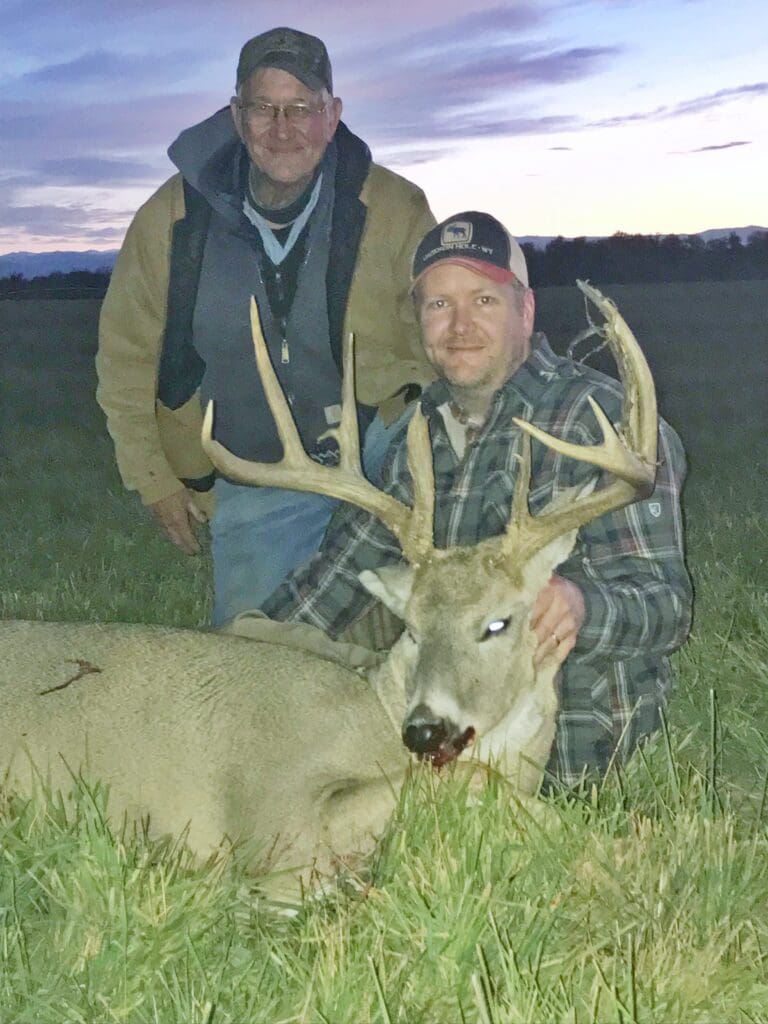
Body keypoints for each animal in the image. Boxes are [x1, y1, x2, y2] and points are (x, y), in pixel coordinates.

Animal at [0, 282, 657, 903]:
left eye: (498, 623)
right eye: (412, 627)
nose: (423, 729)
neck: (377, 709)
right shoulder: (276, 815)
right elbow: (463, 787)